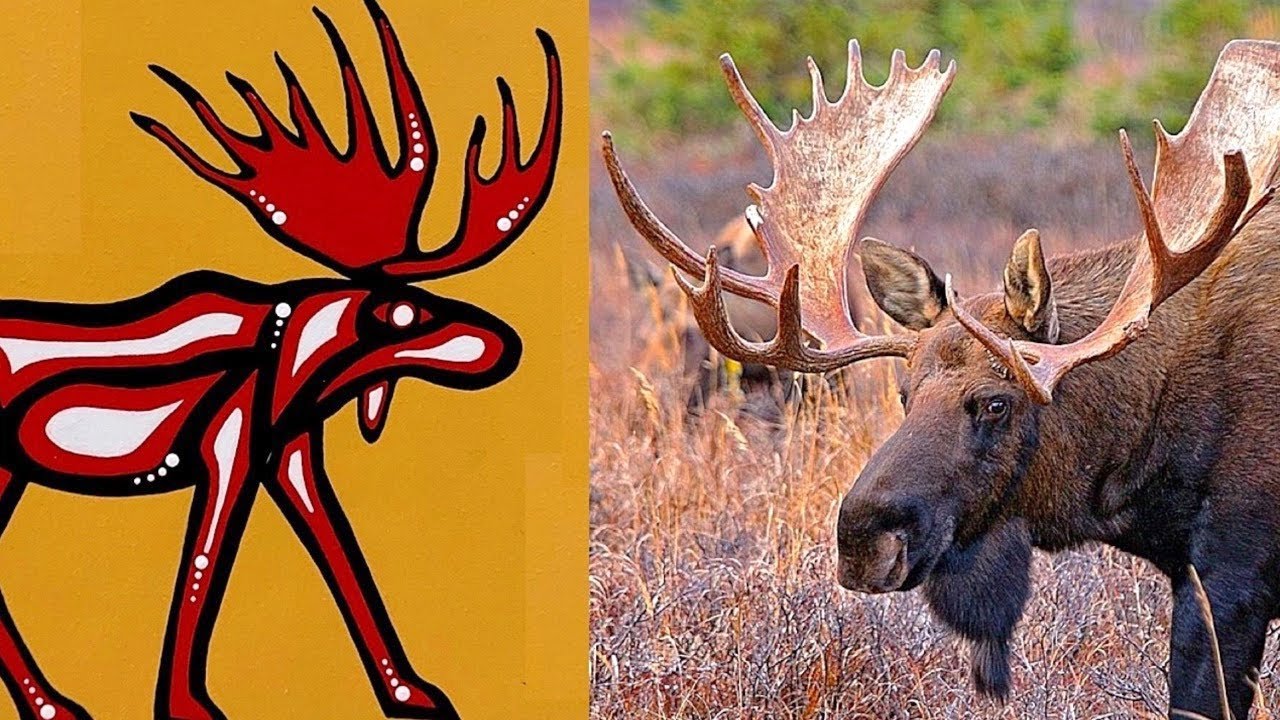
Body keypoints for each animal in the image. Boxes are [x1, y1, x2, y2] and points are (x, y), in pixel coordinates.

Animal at [0, 1, 560, 718]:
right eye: (408, 312)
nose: (502, 344)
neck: (292, 348)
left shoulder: (291, 453)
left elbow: (340, 551)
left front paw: (409, 692)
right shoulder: (228, 450)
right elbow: (205, 566)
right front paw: (187, 707)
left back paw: (52, 702)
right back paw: (51, 704)